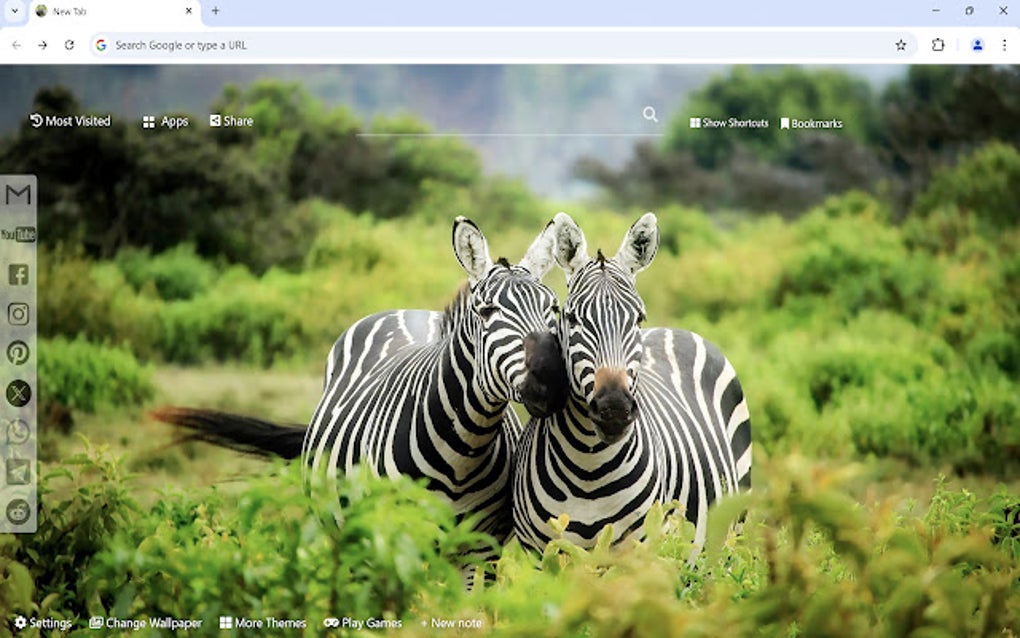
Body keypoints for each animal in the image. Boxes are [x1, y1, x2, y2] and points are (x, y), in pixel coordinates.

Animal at [154, 216, 567, 547]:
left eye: (553, 308)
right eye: (487, 311)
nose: (550, 380)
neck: (463, 450)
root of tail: (406, 310)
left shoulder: (481, 550)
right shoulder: (392, 537)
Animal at [512, 212, 752, 553]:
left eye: (638, 318)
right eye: (571, 318)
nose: (614, 409)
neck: (588, 468)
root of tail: (676, 330)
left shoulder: (637, 550)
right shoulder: (540, 552)